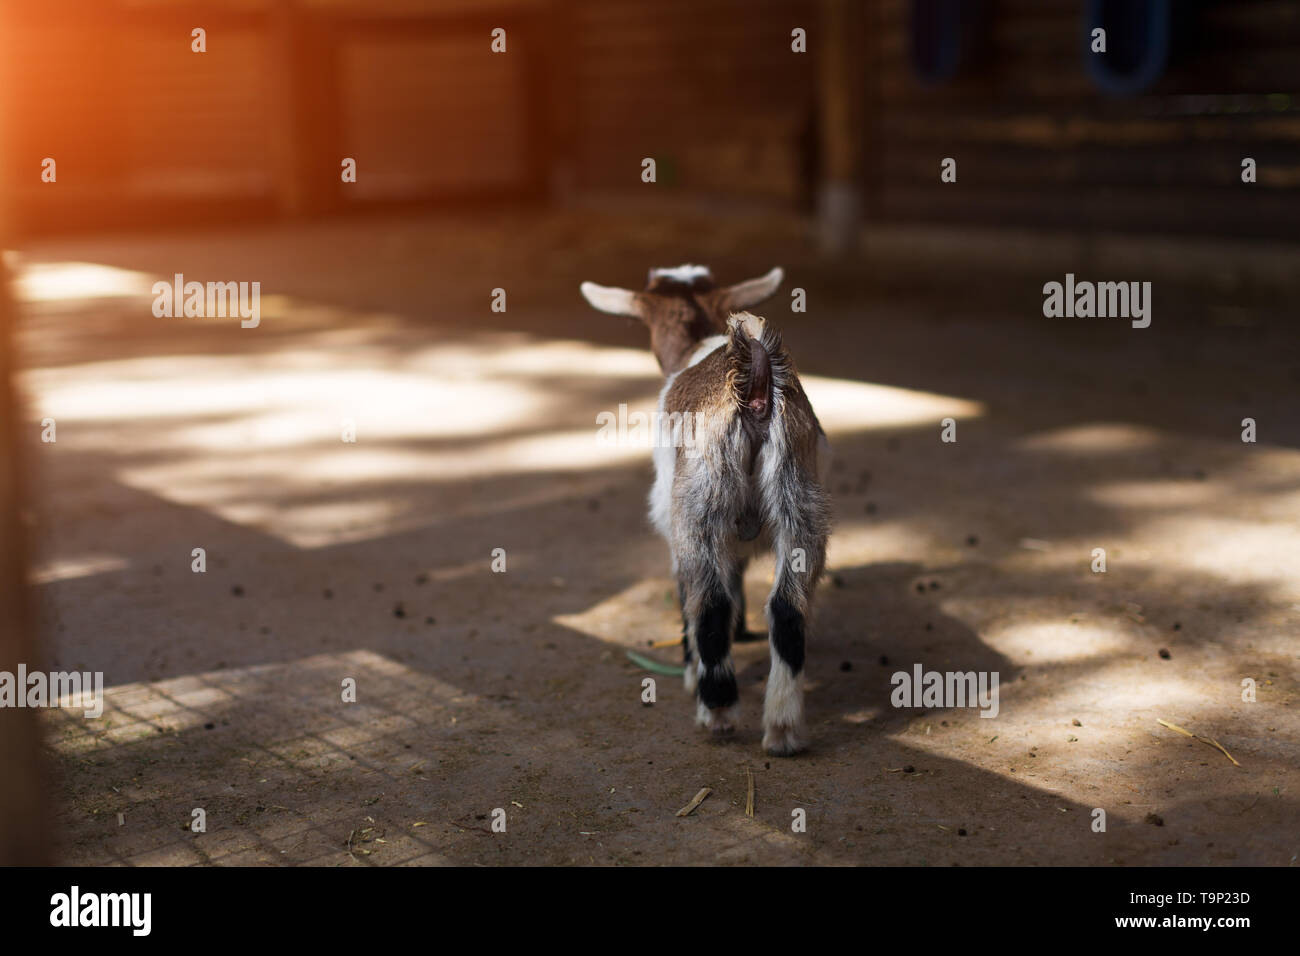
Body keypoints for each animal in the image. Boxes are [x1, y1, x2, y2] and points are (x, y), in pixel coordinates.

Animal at [581, 265, 831, 755]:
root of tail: (756, 381)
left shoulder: (674, 516)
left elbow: (693, 594)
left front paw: (690, 671)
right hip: (799, 495)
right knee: (787, 607)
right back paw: (783, 729)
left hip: (698, 500)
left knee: (710, 601)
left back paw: (716, 710)